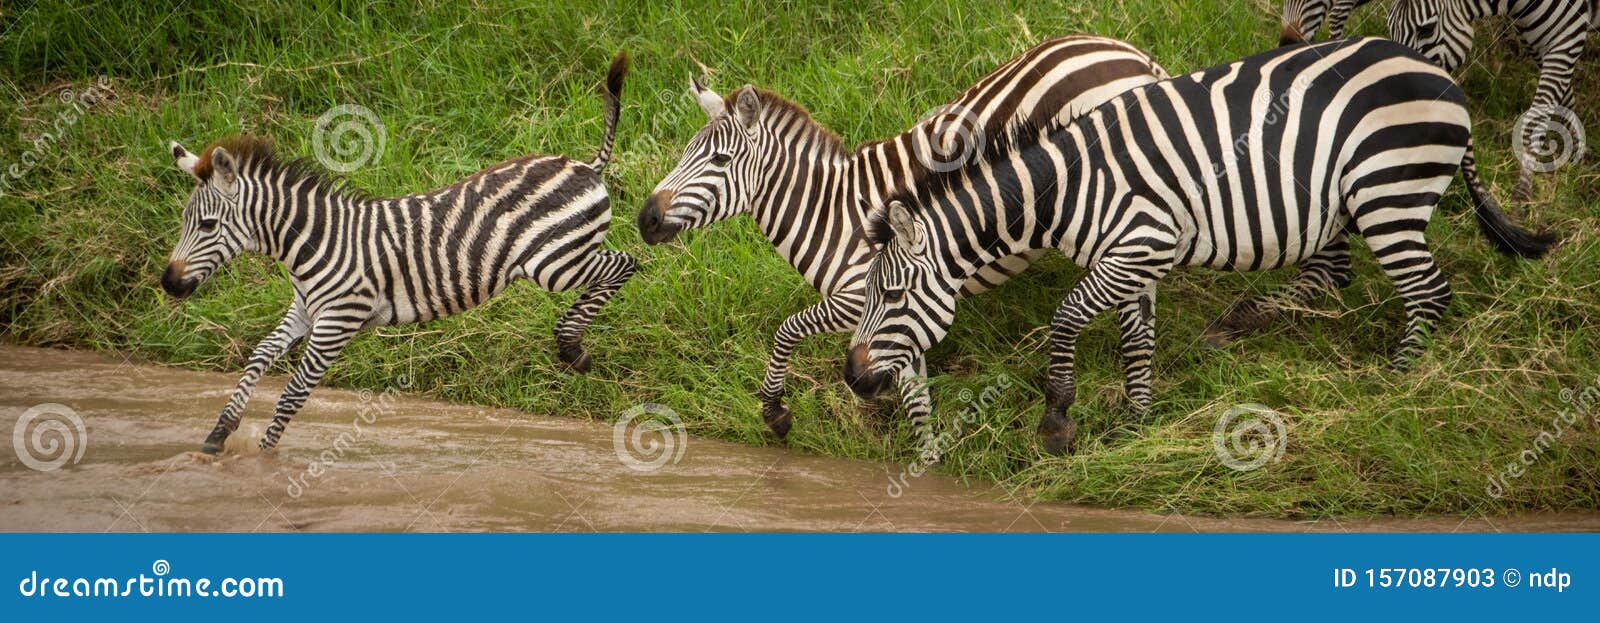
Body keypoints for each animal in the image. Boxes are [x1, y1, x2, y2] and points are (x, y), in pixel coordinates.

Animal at [162, 51, 636, 454]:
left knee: (626, 263)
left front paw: (263, 457)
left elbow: (294, 393)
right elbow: (260, 355)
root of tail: (583, 165)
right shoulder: (305, 310)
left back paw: (571, 346)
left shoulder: (337, 322)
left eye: (207, 226)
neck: (314, 241)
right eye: (185, 222)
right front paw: (218, 434)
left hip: (556, 261)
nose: (168, 284)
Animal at [638, 36, 1168, 438]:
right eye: (684, 153)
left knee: (1135, 321)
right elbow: (916, 400)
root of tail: (1132, 57)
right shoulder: (900, 313)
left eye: (719, 160)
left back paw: (1133, 422)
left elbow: (788, 330)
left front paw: (775, 412)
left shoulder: (866, 296)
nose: (644, 219)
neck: (828, 208)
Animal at [843, 38, 1556, 455]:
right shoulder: (1136, 258)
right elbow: (1136, 341)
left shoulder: (1139, 242)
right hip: (1346, 203)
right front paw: (1135, 425)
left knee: (1427, 292)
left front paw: (1058, 420)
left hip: (1389, 194)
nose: (851, 377)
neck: (1065, 189)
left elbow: (1065, 317)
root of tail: (1440, 76)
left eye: (893, 295)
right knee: (1342, 274)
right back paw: (1244, 324)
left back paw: (1397, 384)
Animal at [1386, 0, 1593, 200]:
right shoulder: (1534, 37)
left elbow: (1535, 120)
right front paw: (1576, 159)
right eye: (1390, 26)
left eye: (1427, 29)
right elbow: (1564, 98)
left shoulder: (1567, 32)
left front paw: (1521, 199)